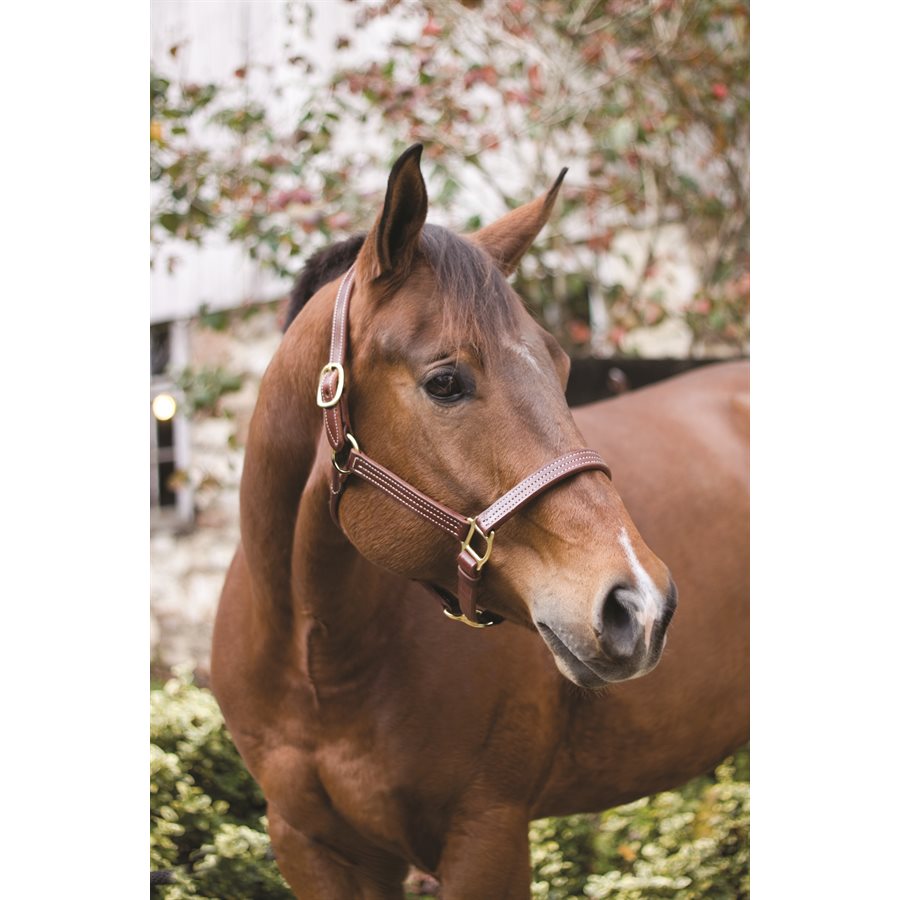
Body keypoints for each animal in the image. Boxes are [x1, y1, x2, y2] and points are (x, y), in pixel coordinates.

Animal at [211, 144, 749, 898]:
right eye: (445, 382)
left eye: (561, 367)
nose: (639, 606)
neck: (315, 661)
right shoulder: (310, 848)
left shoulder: (486, 833)